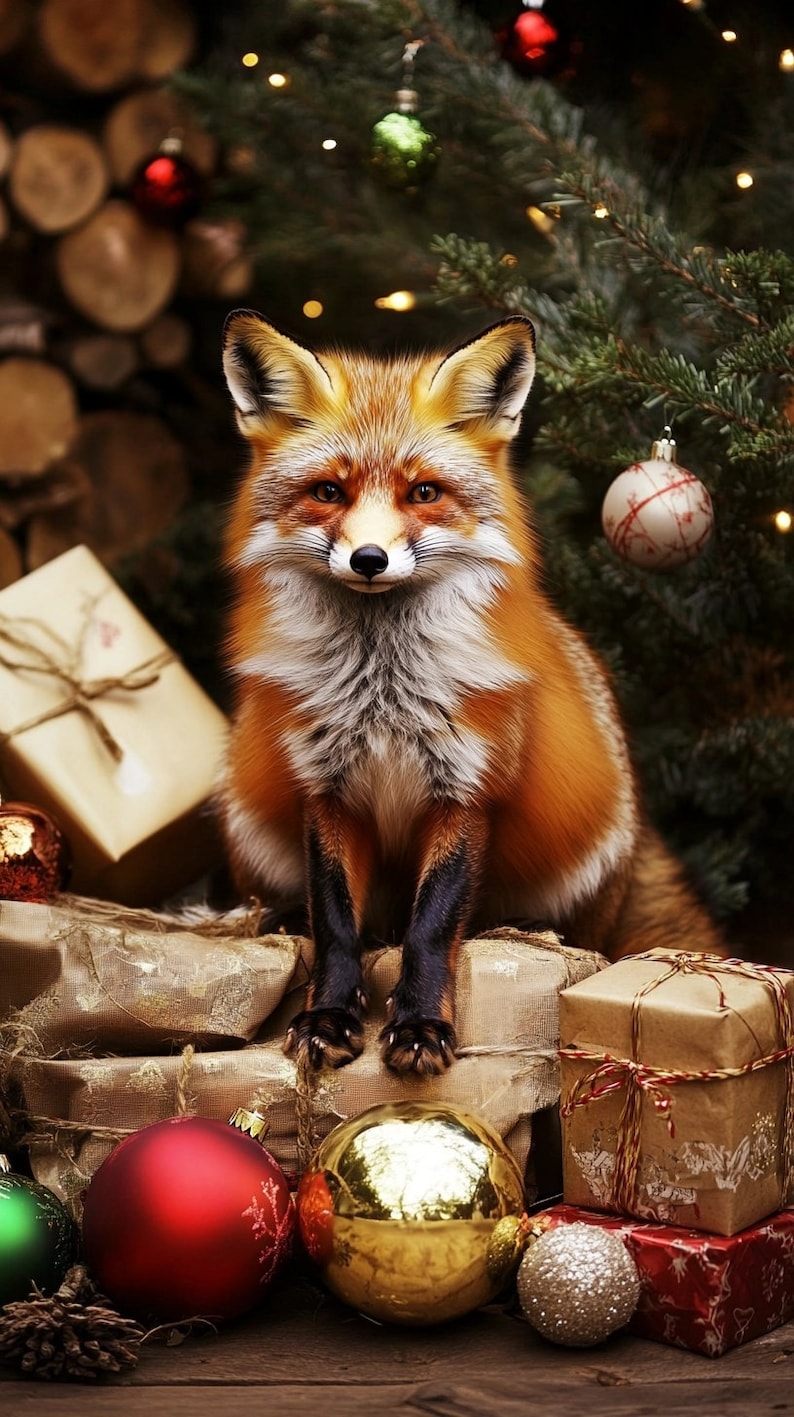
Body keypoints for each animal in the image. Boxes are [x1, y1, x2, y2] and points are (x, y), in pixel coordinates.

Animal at [219, 309, 725, 1076]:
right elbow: (334, 922)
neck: (382, 690)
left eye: (423, 492)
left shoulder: (467, 789)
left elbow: (431, 924)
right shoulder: (327, 789)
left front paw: (420, 1027)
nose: (370, 559)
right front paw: (329, 1016)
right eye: (328, 492)